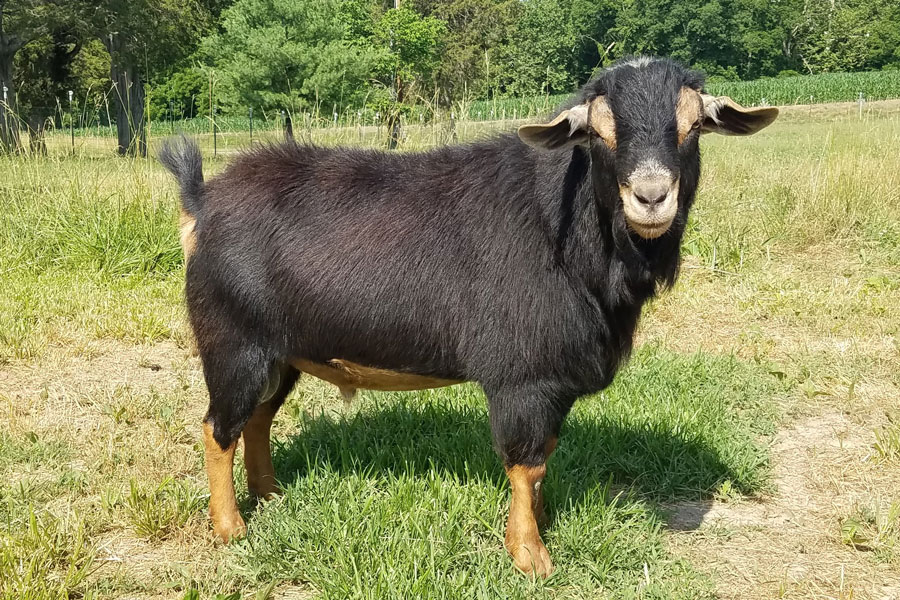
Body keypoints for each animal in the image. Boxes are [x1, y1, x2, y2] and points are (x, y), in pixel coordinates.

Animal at [159, 56, 777, 577]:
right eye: (600, 135)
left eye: (692, 128)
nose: (651, 197)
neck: (569, 229)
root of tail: (202, 203)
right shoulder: (521, 377)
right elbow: (526, 463)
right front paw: (530, 556)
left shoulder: (552, 380)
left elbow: (545, 456)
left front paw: (541, 523)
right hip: (234, 342)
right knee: (218, 428)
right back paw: (232, 528)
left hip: (282, 351)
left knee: (257, 420)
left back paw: (270, 496)